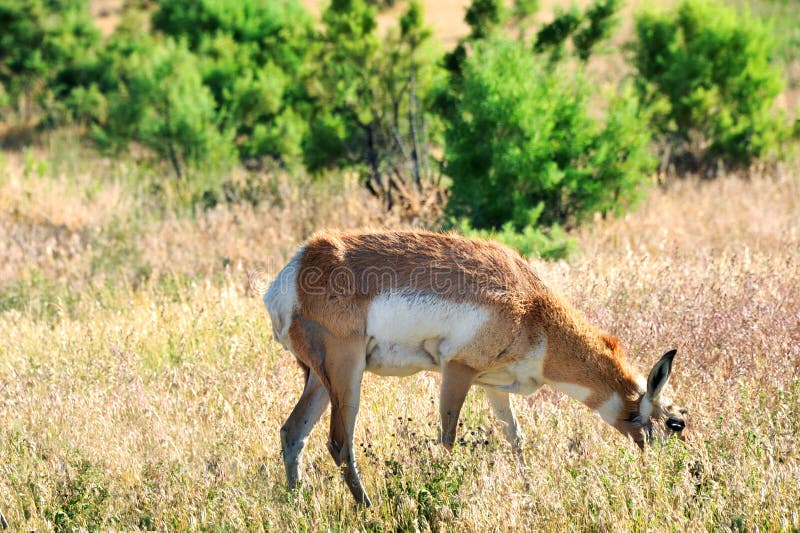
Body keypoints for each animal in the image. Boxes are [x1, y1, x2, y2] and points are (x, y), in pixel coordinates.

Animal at [263, 229, 687, 505]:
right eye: (675, 423)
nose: (672, 474)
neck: (535, 309)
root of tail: (295, 270)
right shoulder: (458, 370)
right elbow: (447, 439)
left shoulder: (494, 386)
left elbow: (515, 438)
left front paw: (529, 490)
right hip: (346, 373)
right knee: (339, 442)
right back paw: (367, 507)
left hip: (320, 380)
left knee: (292, 432)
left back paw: (297, 502)